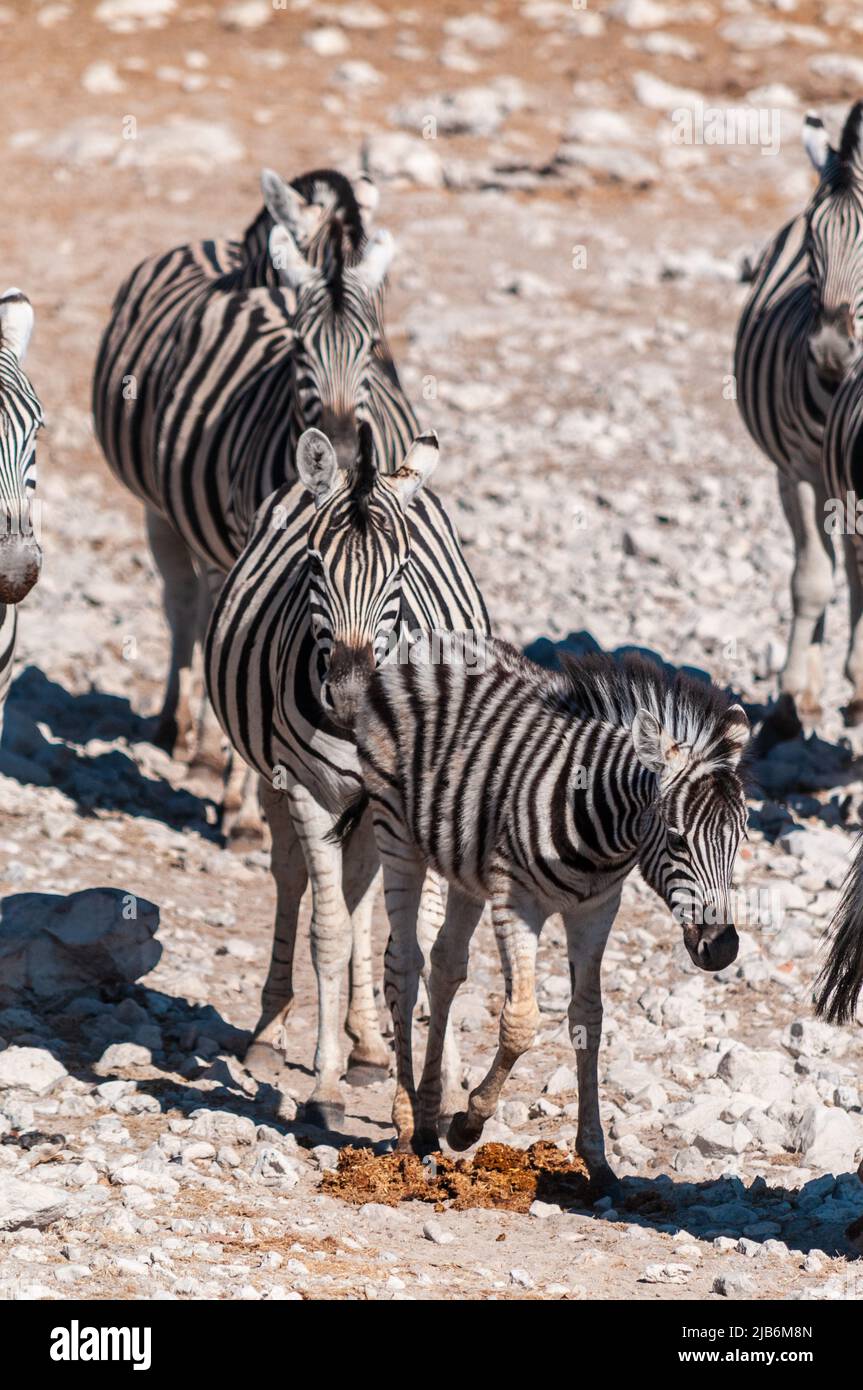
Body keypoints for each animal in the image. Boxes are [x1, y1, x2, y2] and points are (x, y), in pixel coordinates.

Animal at [205, 423, 491, 1126]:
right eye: (312, 566)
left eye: (403, 573)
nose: (353, 694)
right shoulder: (310, 791)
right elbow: (329, 930)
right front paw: (324, 1092)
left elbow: (420, 938)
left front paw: (444, 1089)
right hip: (280, 785)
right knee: (296, 882)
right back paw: (272, 1034)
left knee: (360, 893)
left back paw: (366, 1045)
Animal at [337, 641, 748, 1181]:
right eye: (678, 839)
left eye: (741, 841)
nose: (722, 949)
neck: (599, 829)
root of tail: (429, 644)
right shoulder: (516, 901)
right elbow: (520, 1022)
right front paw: (468, 1123)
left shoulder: (598, 908)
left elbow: (589, 1019)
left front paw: (596, 1158)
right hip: (396, 834)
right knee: (403, 966)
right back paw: (407, 1126)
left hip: (464, 868)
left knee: (445, 966)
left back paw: (427, 1122)